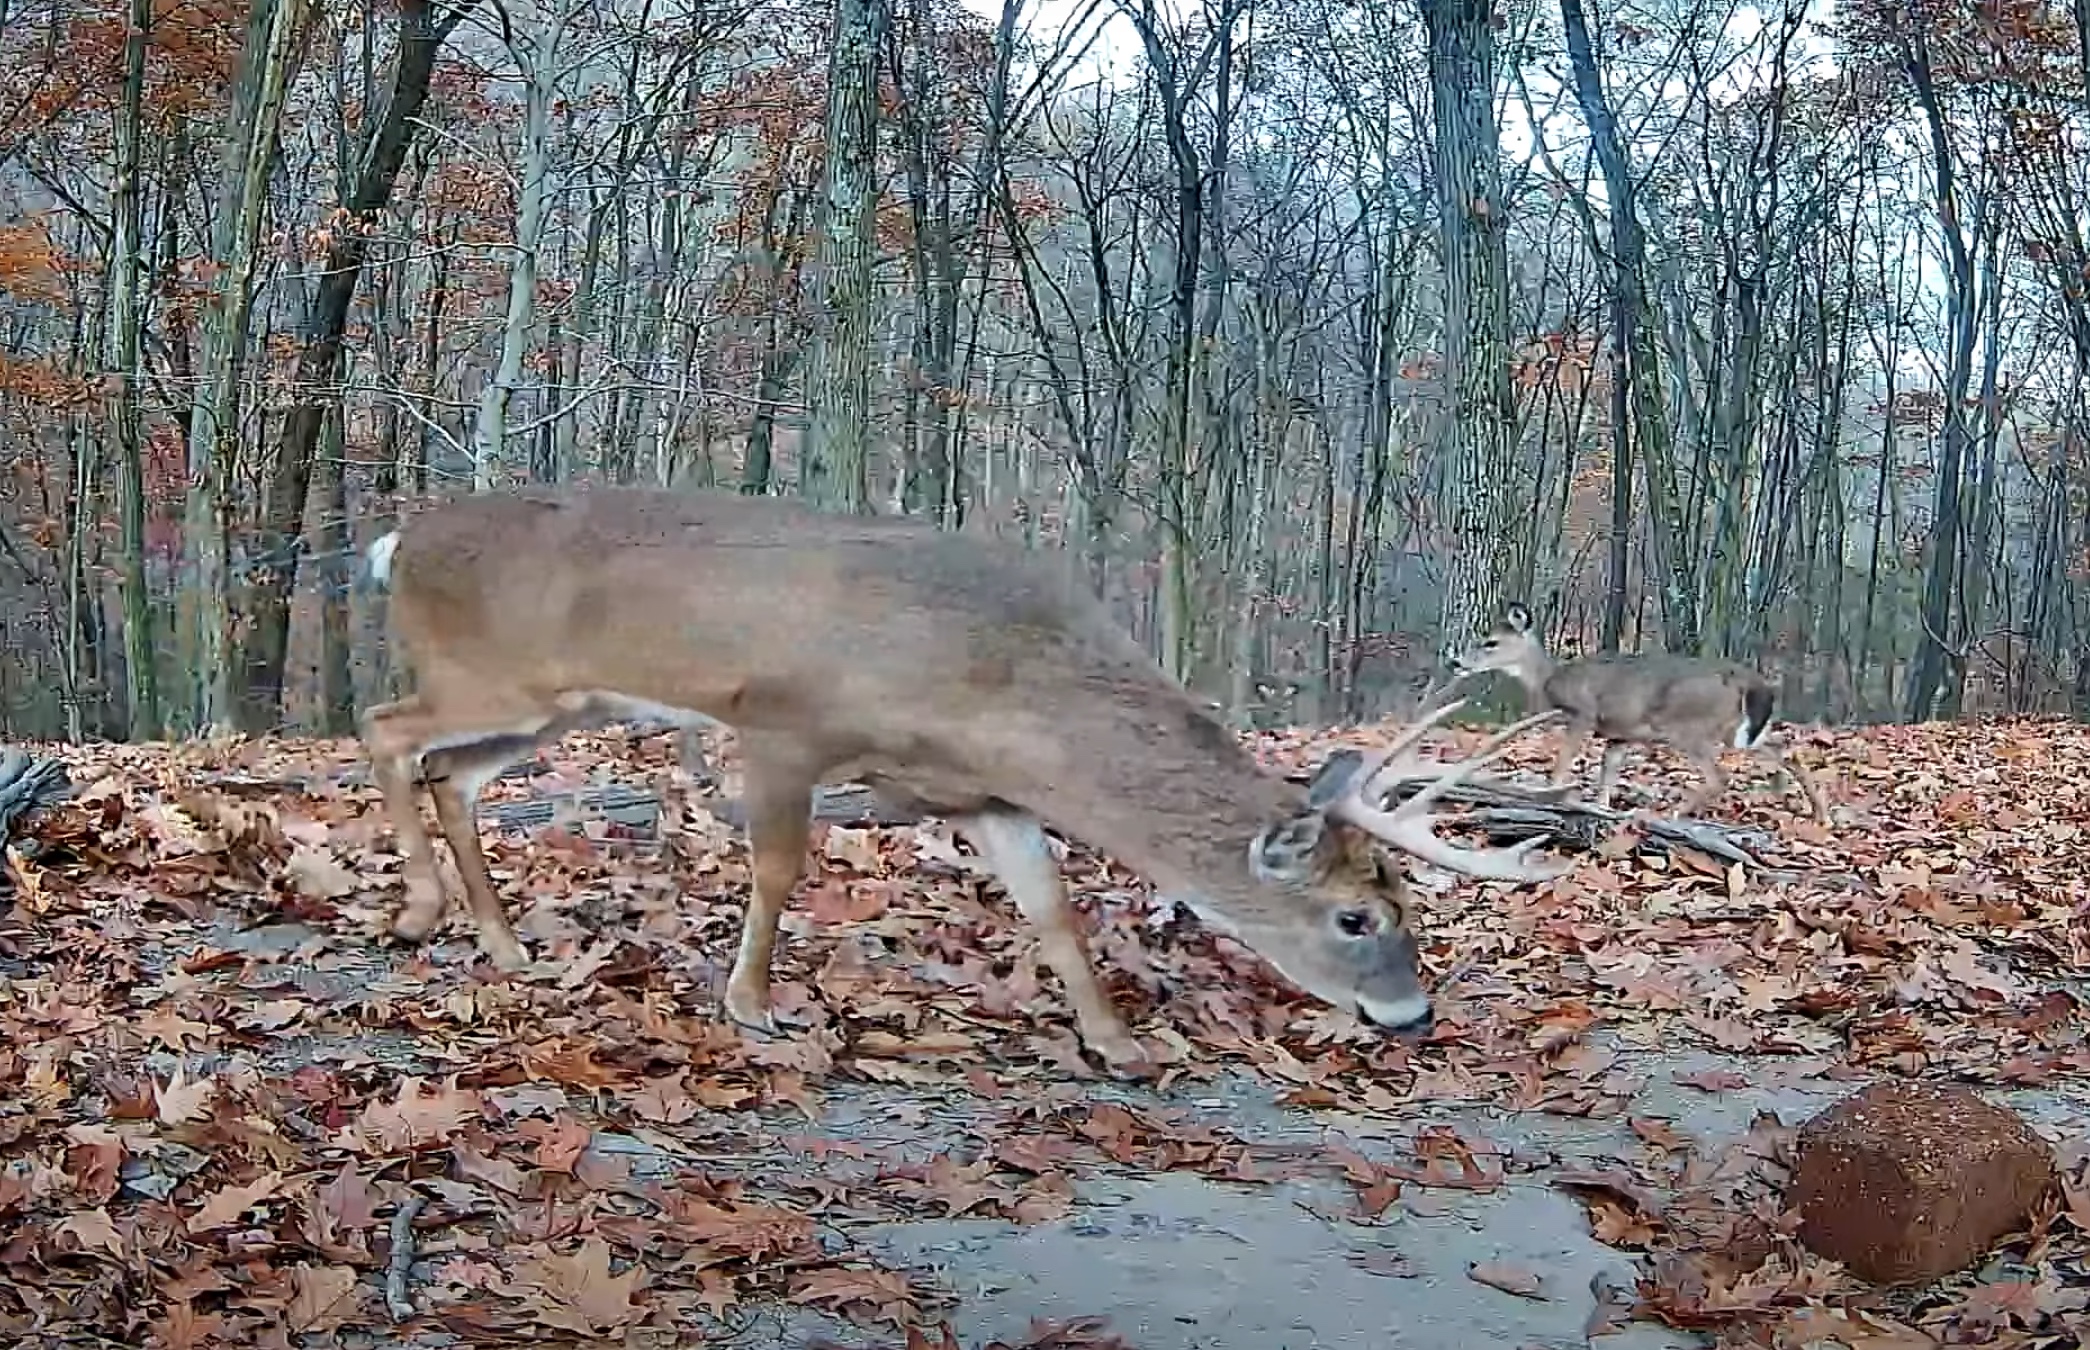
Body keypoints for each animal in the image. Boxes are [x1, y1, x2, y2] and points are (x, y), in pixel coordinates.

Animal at [358, 484, 1574, 1075]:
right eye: (1356, 917)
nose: (1412, 1018)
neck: (990, 688)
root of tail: (394, 542)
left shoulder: (987, 794)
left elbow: (1054, 910)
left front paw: (1117, 1043)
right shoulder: (787, 721)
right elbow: (777, 867)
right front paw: (752, 1005)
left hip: (558, 705)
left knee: (450, 772)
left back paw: (502, 944)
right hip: (492, 675)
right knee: (384, 726)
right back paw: (417, 911)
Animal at [1445, 601, 1831, 825]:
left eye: (1490, 642)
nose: (1456, 662)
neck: (1549, 679)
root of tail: (1748, 679)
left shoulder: (1583, 713)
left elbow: (1563, 762)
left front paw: (1550, 797)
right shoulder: (1620, 734)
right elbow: (1607, 777)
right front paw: (1601, 808)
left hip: (1688, 726)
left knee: (1719, 777)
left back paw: (1671, 813)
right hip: (1739, 730)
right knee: (1788, 752)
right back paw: (1821, 816)